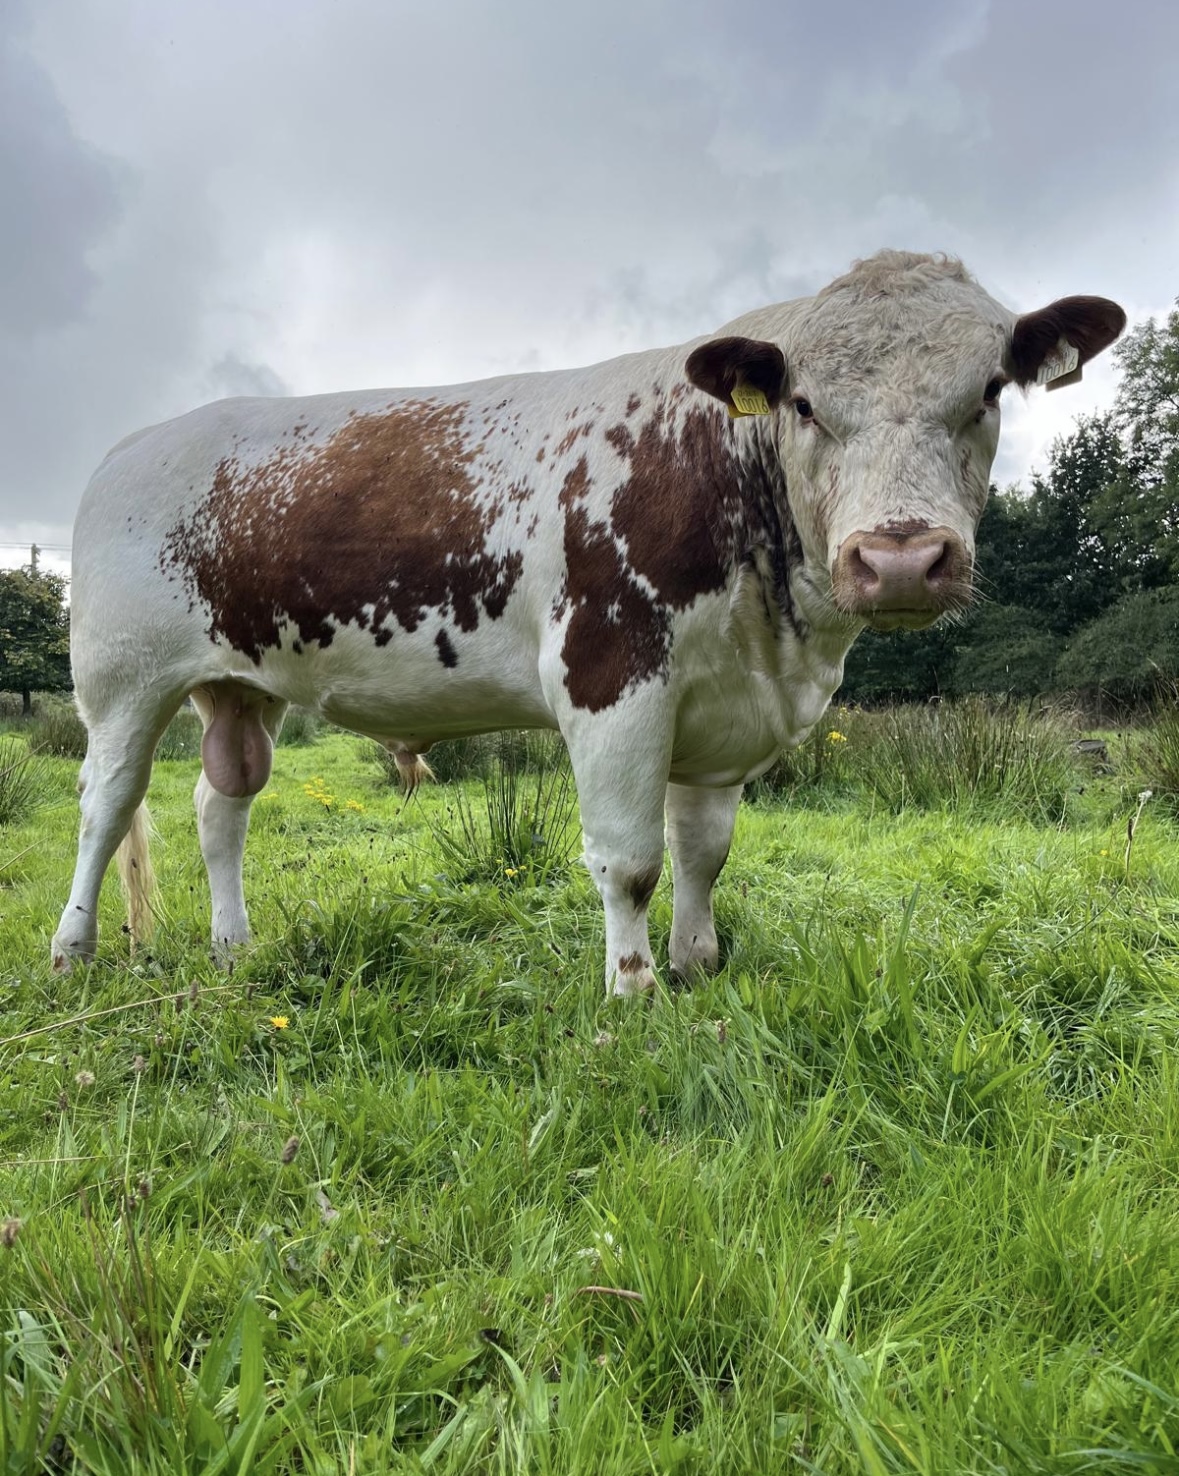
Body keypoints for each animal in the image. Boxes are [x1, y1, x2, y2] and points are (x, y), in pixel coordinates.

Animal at [51, 251, 1125, 994]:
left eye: (988, 392)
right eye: (804, 404)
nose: (899, 556)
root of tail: (136, 444)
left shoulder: (720, 710)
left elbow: (703, 851)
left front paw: (696, 964)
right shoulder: (613, 679)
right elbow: (631, 861)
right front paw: (633, 993)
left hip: (240, 684)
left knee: (219, 805)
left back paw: (234, 949)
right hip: (121, 681)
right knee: (105, 807)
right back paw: (73, 950)